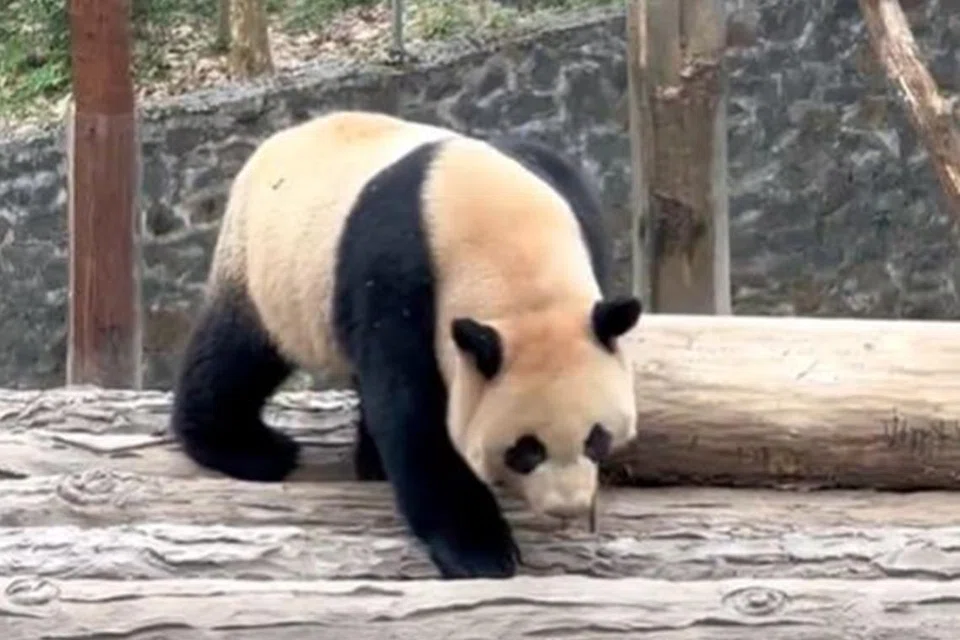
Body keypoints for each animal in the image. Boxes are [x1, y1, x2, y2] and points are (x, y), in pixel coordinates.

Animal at [169, 110, 642, 580]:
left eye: (596, 439)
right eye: (525, 450)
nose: (568, 507)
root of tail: (282, 138)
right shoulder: (396, 273)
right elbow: (411, 408)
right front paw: (480, 551)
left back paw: (369, 463)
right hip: (266, 265)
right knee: (235, 357)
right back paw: (247, 448)